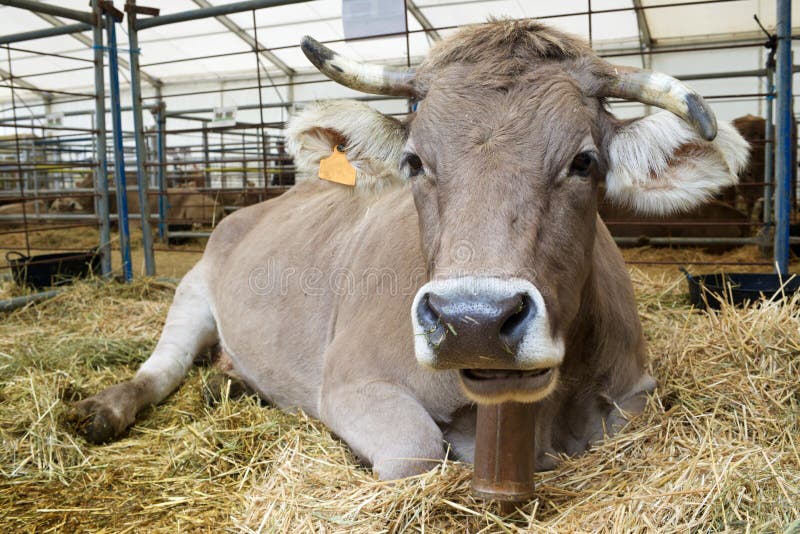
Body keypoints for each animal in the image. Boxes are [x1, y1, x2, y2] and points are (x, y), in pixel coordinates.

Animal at [68, 20, 748, 480]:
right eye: (415, 161)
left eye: (584, 162)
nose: (474, 321)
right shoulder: (351, 383)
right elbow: (418, 454)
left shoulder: (635, 389)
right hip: (192, 291)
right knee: (159, 370)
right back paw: (100, 410)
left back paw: (227, 385)